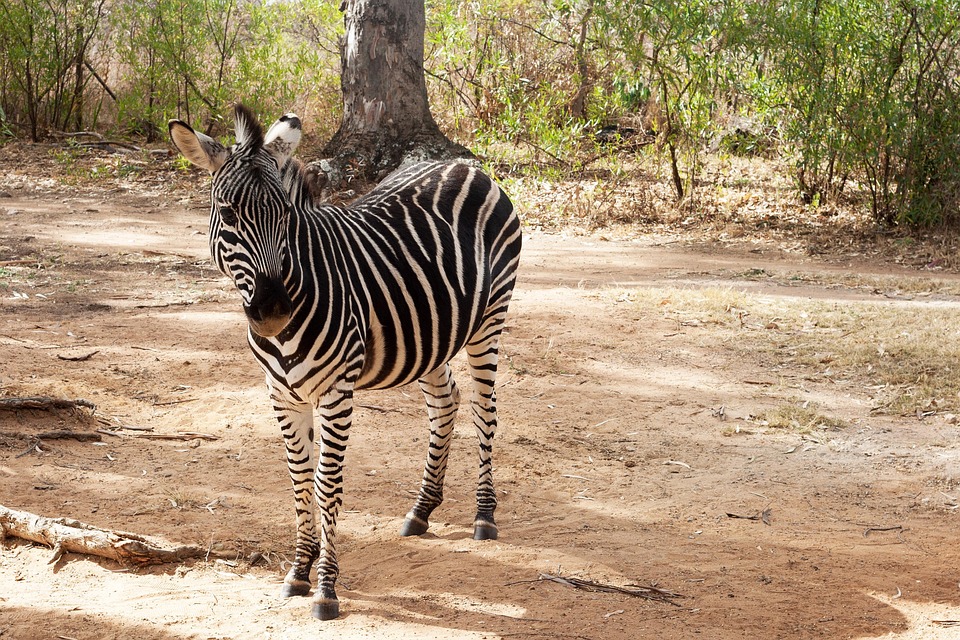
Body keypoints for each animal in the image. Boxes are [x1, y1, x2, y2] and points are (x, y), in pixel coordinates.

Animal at [168, 105, 522, 621]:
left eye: (286, 214)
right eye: (229, 213)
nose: (273, 311)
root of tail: (462, 165)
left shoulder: (336, 392)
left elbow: (326, 485)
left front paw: (326, 588)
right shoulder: (281, 394)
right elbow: (299, 482)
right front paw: (299, 569)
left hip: (490, 318)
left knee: (484, 411)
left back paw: (484, 514)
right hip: (431, 334)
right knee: (445, 404)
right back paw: (422, 509)